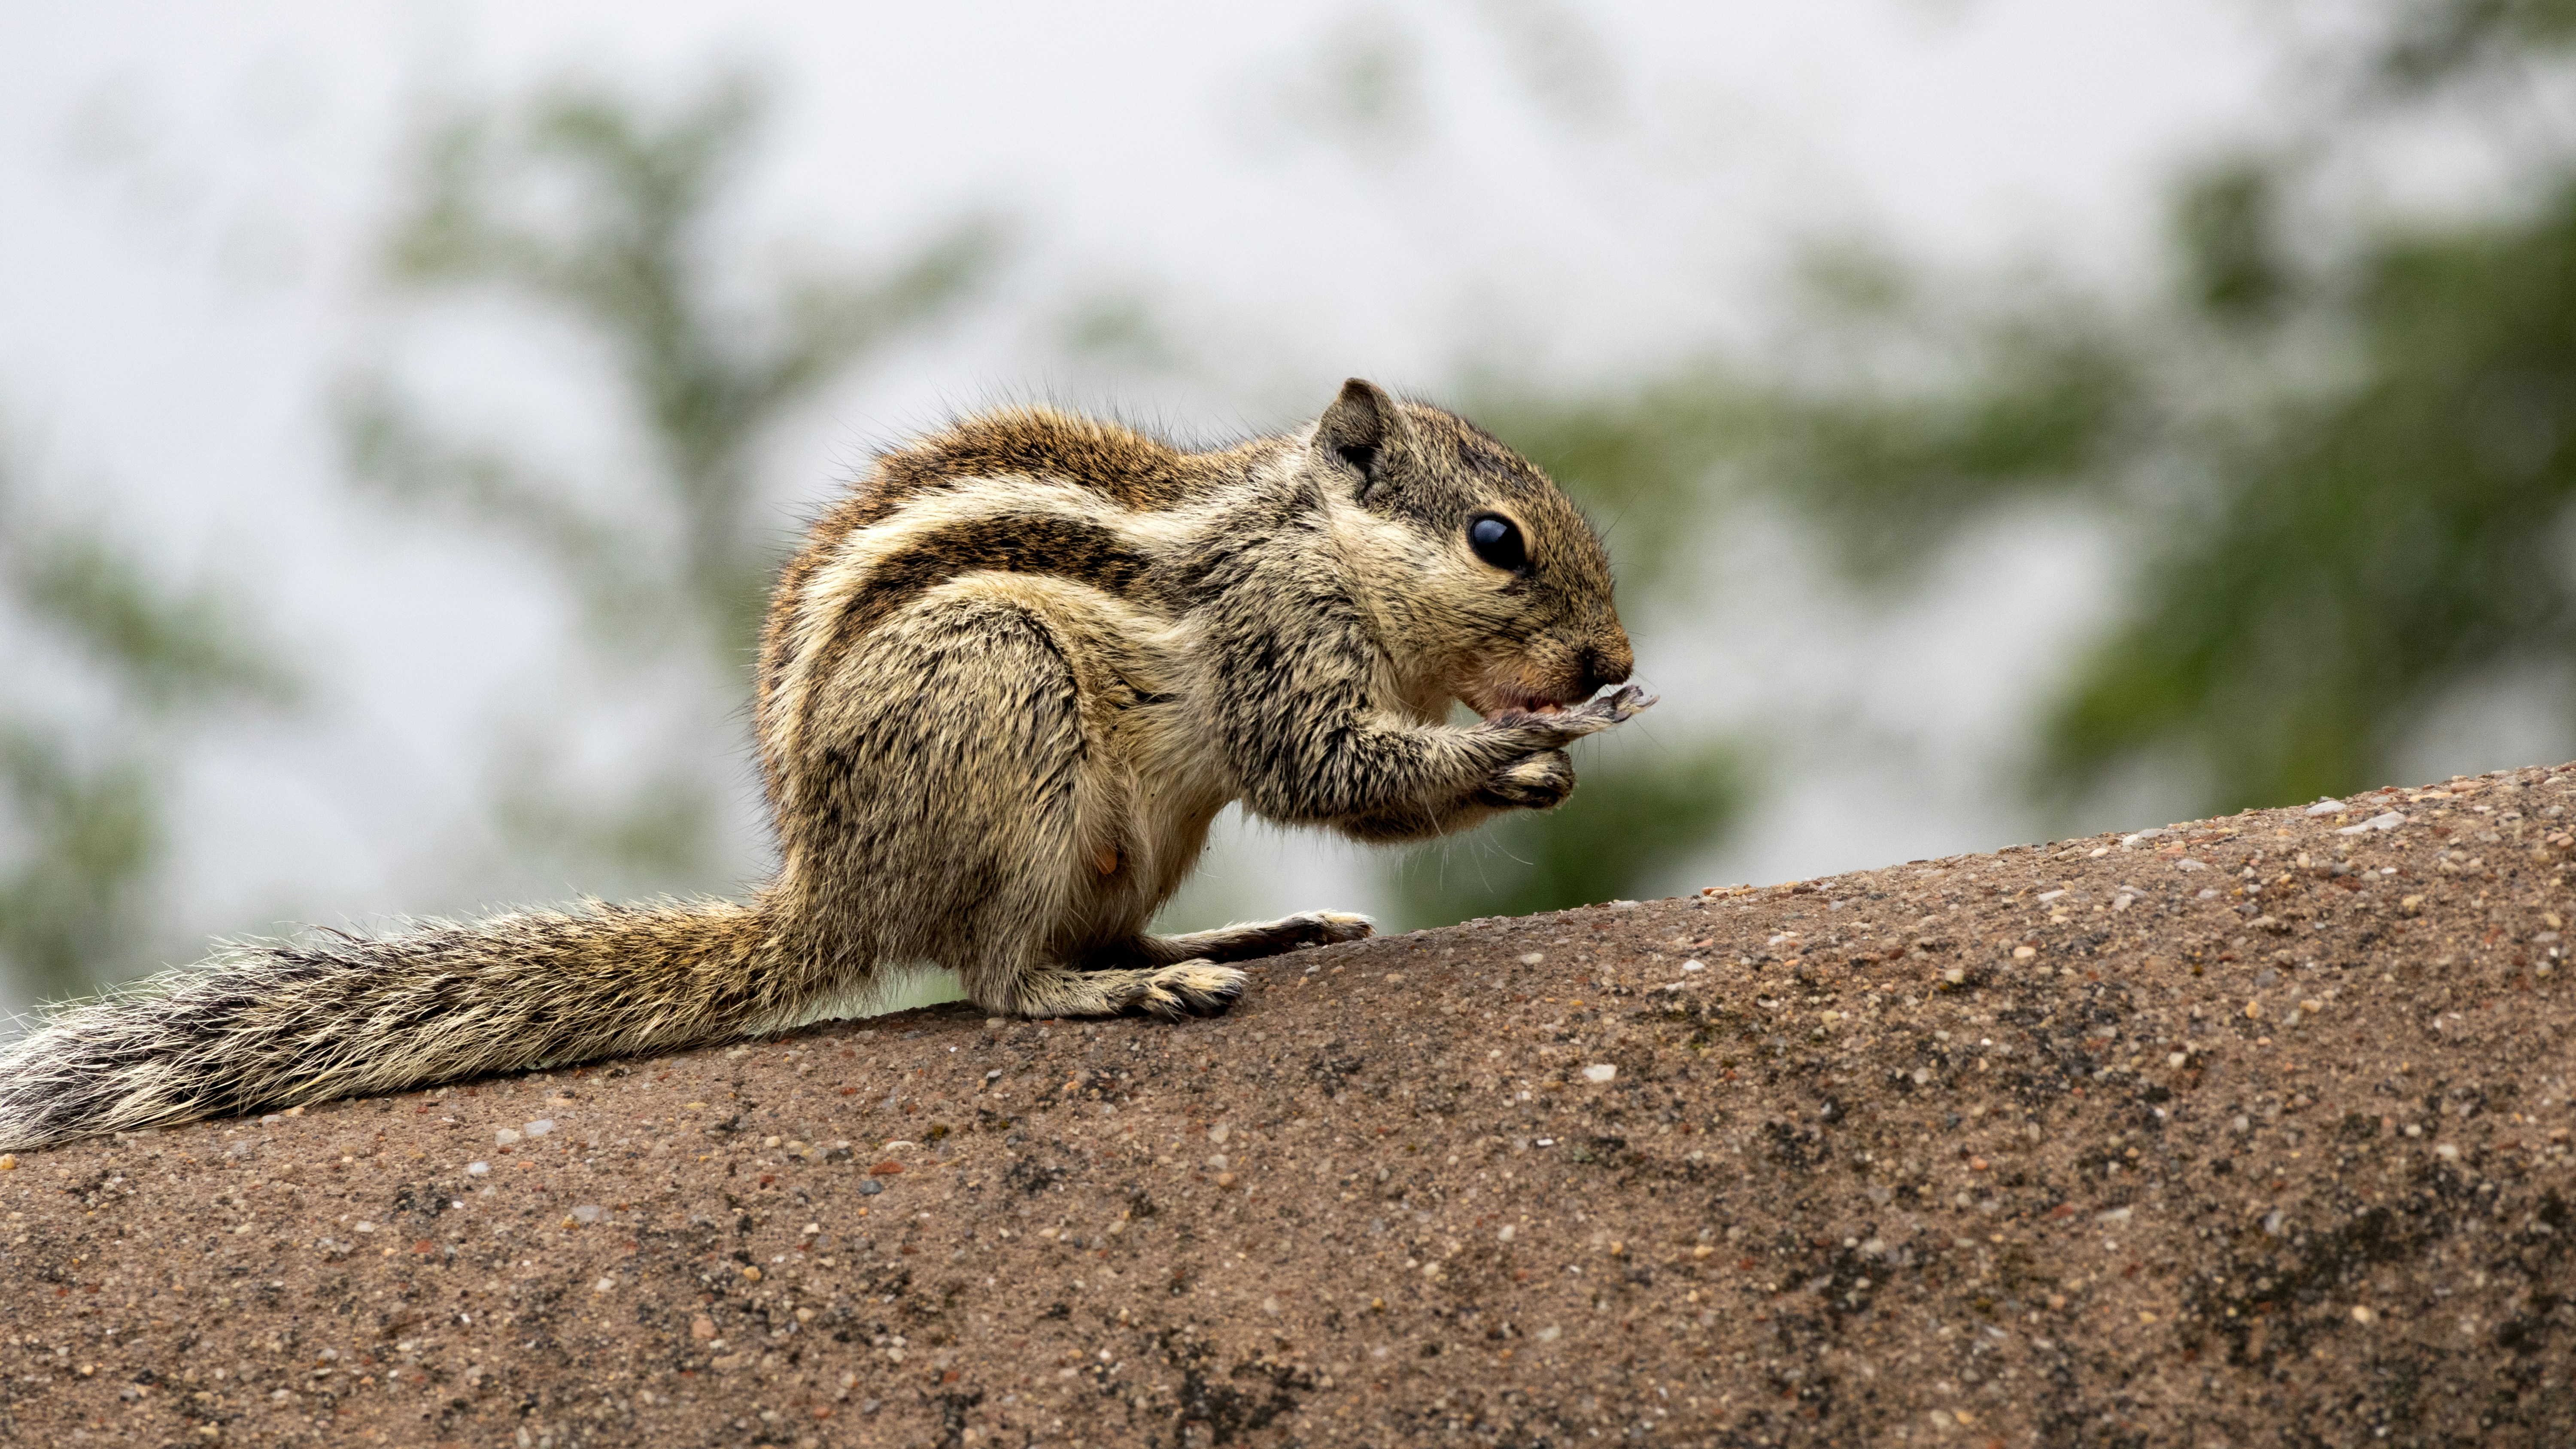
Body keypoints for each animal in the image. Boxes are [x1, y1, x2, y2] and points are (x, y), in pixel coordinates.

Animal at [0, 379, 1650, 1150]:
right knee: (1001, 976)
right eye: (1496, 540)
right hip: (1006, 699)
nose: (1607, 663)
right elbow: (1325, 768)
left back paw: (1237, 933)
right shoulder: (1275, 644)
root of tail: (830, 895)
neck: (1315, 540)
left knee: (1091, 928)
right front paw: (1526, 750)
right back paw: (1118, 990)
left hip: (1132, 832)